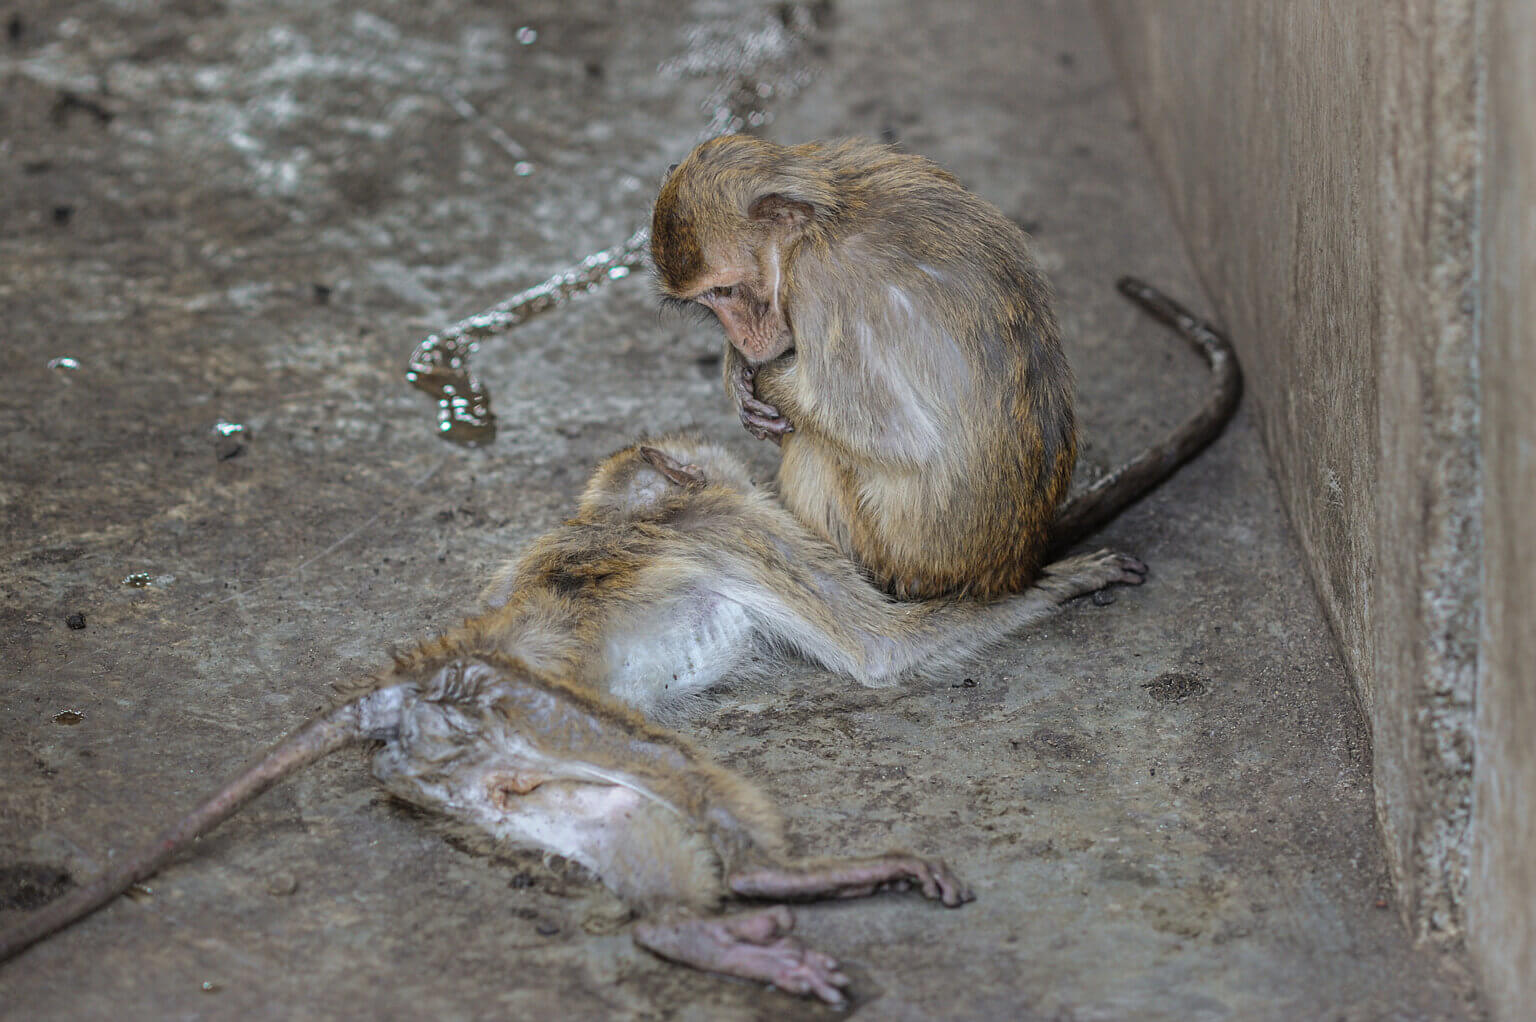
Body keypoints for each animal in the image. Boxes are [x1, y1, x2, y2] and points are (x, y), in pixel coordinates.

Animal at [0, 651, 970, 1004]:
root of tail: (399, 701)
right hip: (622, 748)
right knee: (723, 843)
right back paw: (789, 911)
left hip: (552, 803)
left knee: (655, 908)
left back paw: (748, 943)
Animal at [651, 134, 1241, 598]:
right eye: (708, 302)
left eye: (726, 291)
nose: (740, 336)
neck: (823, 221)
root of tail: (1012, 564)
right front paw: (738, 373)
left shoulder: (825, 287)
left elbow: (897, 437)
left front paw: (765, 380)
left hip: (903, 553)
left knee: (820, 446)